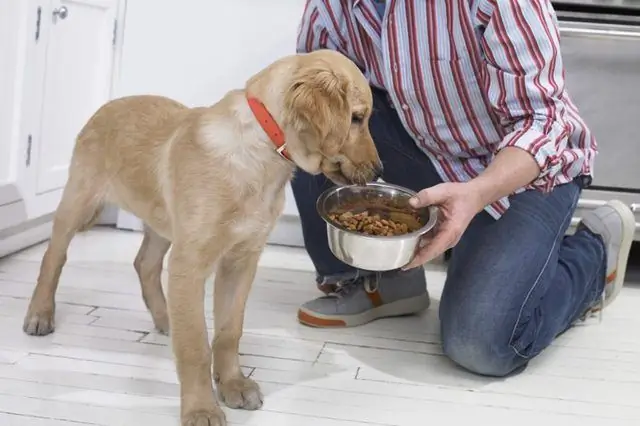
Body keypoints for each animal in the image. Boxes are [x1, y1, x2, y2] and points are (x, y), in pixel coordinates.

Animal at [22, 50, 382, 426]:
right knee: (54, 256)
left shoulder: (241, 260)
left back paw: (166, 318)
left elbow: (228, 331)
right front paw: (201, 408)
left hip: (162, 221)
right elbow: (195, 346)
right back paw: (40, 314)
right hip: (79, 200)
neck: (261, 152)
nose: (379, 170)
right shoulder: (190, 262)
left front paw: (233, 384)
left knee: (145, 264)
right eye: (357, 118)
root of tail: (107, 105)